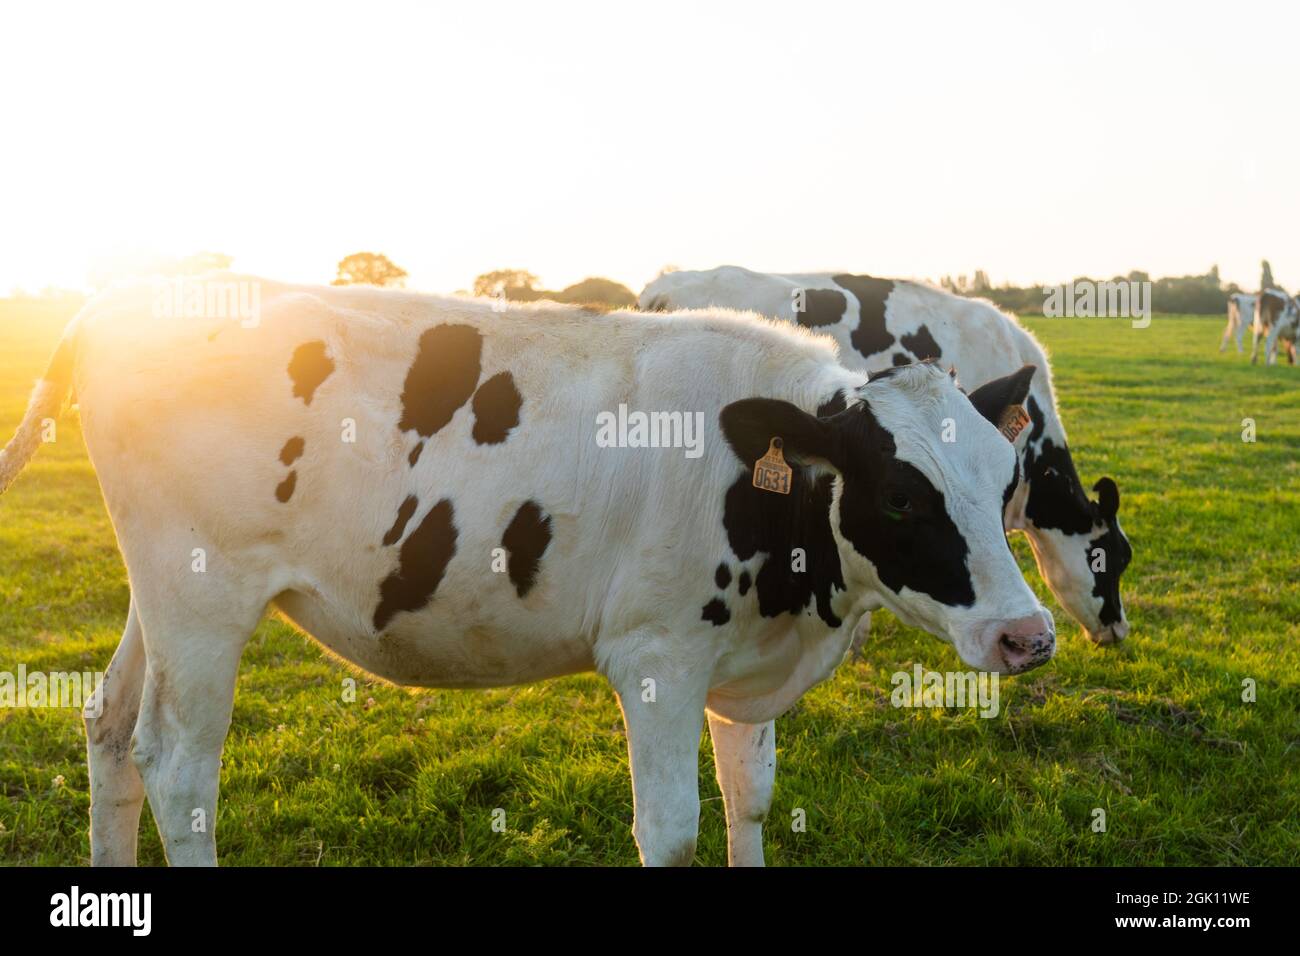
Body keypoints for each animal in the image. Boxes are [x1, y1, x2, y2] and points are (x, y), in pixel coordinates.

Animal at [0, 277, 1055, 868]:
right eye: (901, 499)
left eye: (1005, 480)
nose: (1026, 634)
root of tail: (121, 300)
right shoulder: (657, 659)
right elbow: (671, 829)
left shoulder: (742, 658)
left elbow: (748, 802)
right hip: (203, 598)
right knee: (178, 768)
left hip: (161, 592)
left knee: (108, 728)